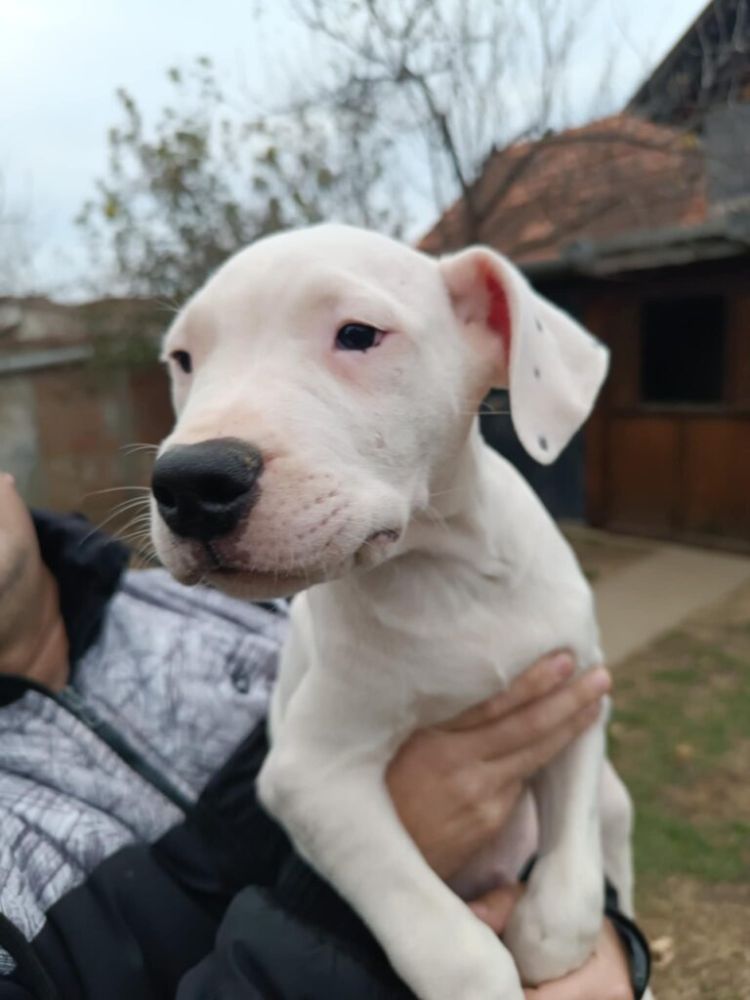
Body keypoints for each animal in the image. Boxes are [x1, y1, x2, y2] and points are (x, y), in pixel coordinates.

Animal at [151, 227, 640, 1000]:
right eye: (184, 360)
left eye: (357, 334)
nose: (191, 483)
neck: (443, 577)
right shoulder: (313, 775)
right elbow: (451, 944)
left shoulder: (578, 698)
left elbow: (573, 861)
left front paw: (548, 938)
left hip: (619, 805)